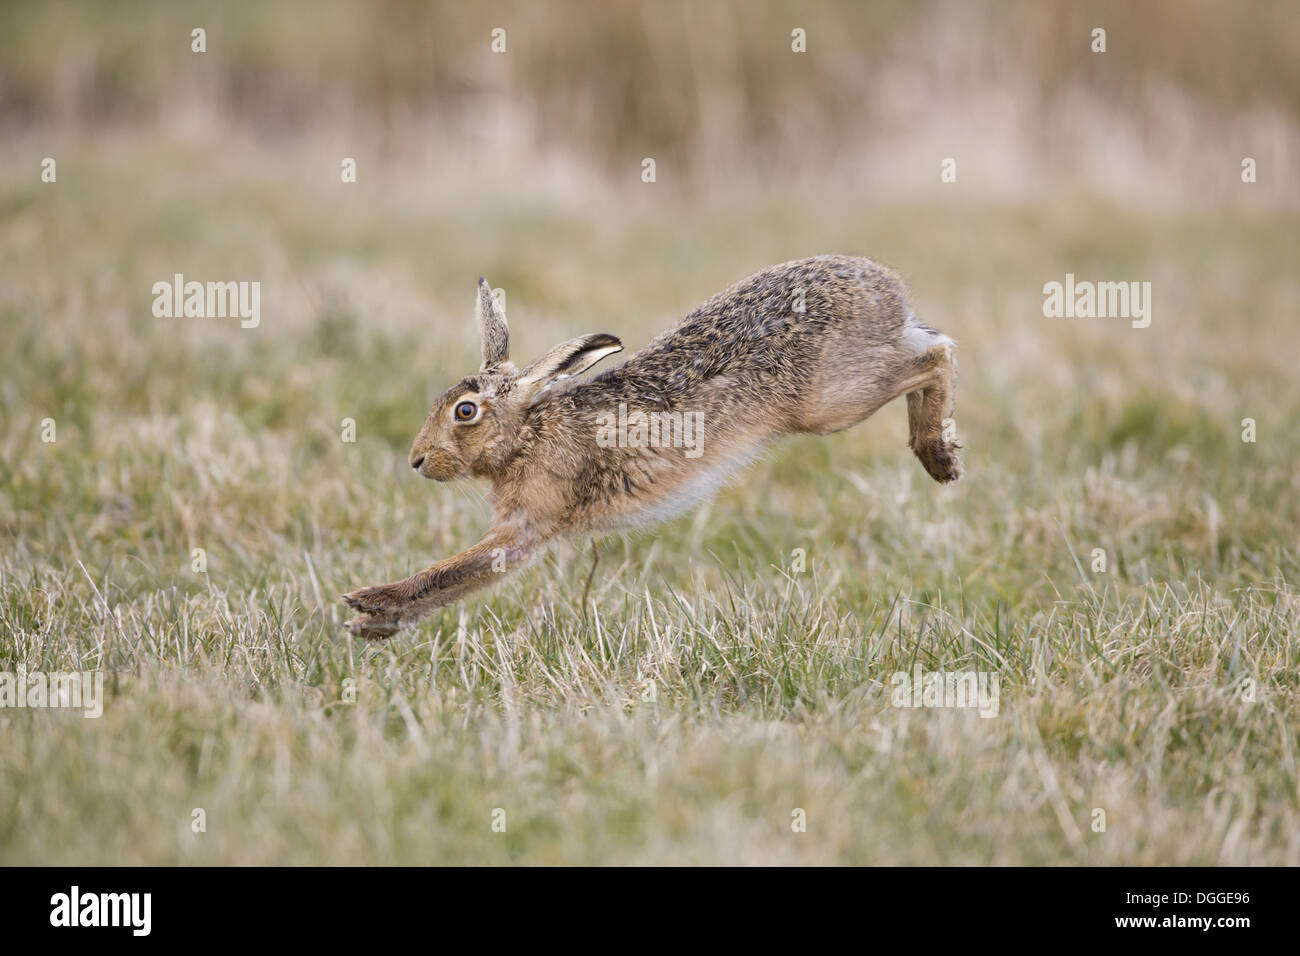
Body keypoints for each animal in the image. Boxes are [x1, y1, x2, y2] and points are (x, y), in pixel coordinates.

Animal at [343, 255, 960, 638]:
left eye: (465, 412)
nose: (417, 461)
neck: (526, 432)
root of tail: (887, 289)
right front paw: (373, 629)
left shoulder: (527, 525)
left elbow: (458, 571)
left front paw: (369, 604)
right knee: (932, 346)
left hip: (832, 399)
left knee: (937, 356)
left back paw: (938, 455)